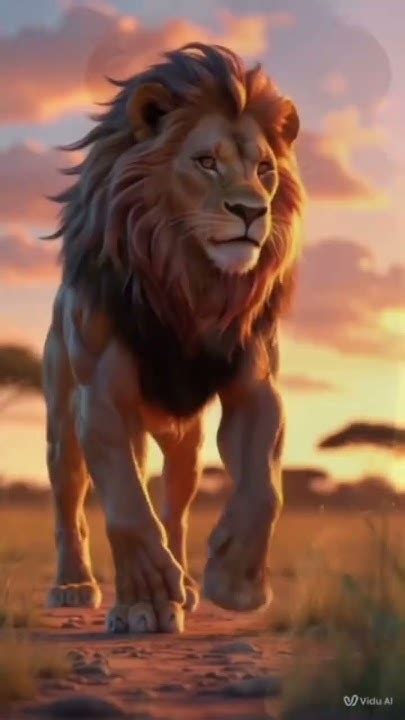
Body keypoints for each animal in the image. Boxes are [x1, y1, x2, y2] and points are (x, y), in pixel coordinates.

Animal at [43, 43, 304, 634]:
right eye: (206, 162)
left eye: (264, 169)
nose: (252, 211)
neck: (187, 279)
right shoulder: (101, 394)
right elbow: (125, 504)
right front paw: (144, 600)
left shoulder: (256, 388)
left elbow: (265, 489)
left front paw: (235, 583)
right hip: (62, 423)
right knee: (72, 503)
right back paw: (74, 585)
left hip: (185, 442)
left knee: (176, 508)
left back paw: (184, 583)